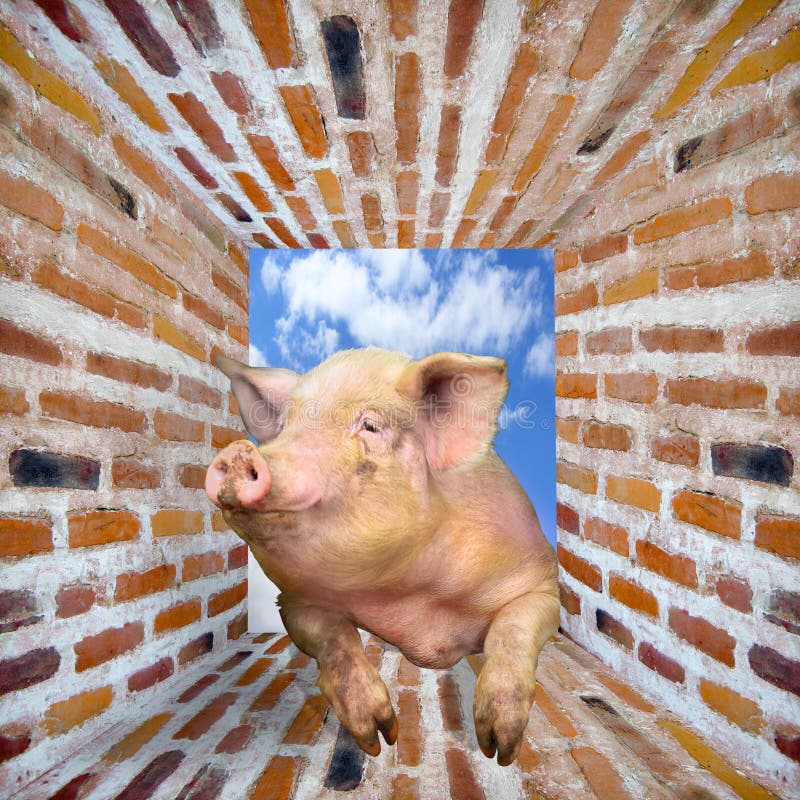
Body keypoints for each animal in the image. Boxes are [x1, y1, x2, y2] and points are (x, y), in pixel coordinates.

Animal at [205, 347, 559, 766]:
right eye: (286, 427)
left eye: (371, 426)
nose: (238, 452)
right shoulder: (293, 601)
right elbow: (334, 638)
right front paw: (381, 739)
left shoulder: (542, 578)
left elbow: (513, 628)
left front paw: (499, 751)